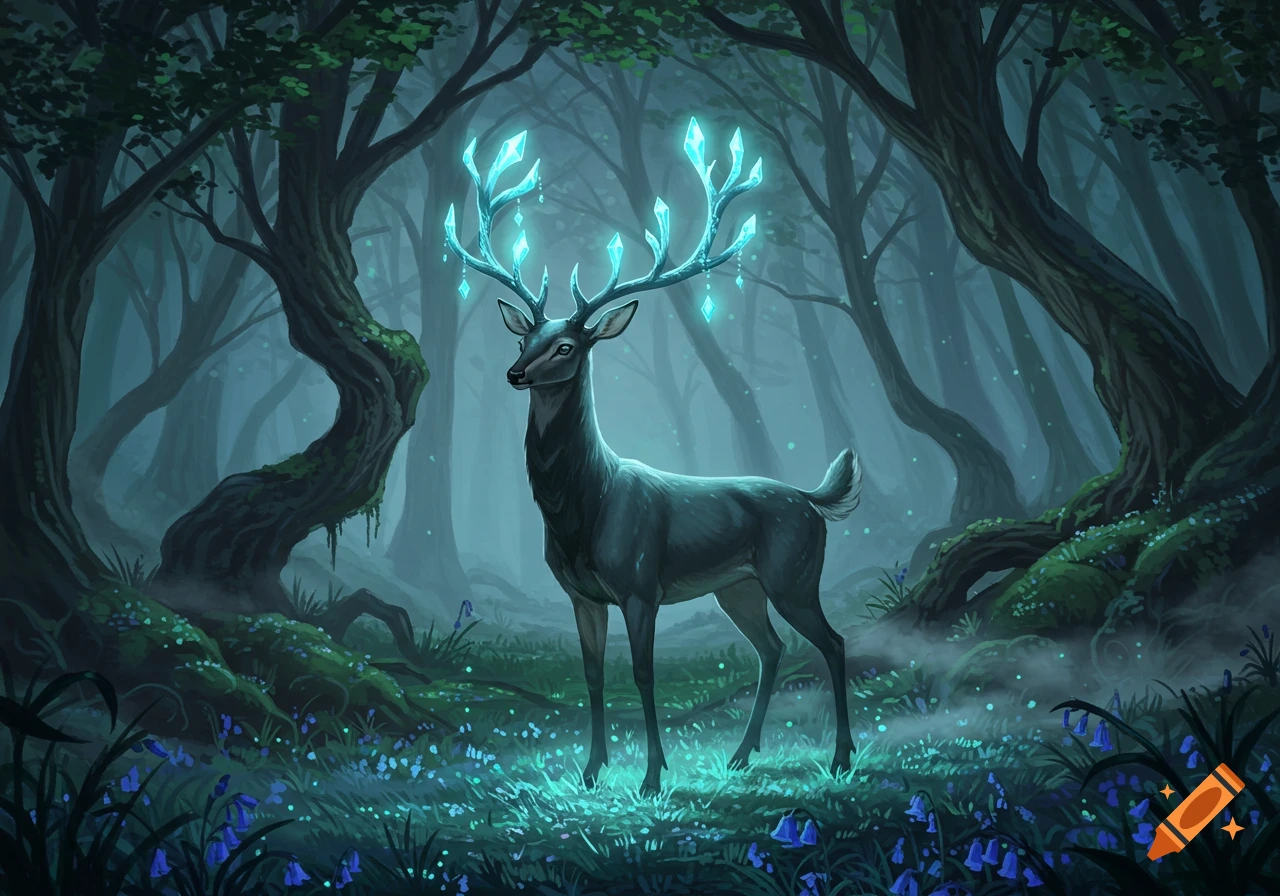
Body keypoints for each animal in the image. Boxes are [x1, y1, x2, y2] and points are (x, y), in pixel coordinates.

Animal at [443, 119, 862, 796]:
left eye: (566, 345)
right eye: (523, 336)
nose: (513, 373)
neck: (582, 513)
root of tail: (812, 499)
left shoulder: (640, 585)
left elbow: (643, 674)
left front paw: (651, 777)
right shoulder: (582, 595)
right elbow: (592, 675)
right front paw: (592, 771)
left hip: (794, 572)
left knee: (832, 641)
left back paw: (842, 756)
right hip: (738, 586)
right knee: (772, 649)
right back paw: (742, 755)